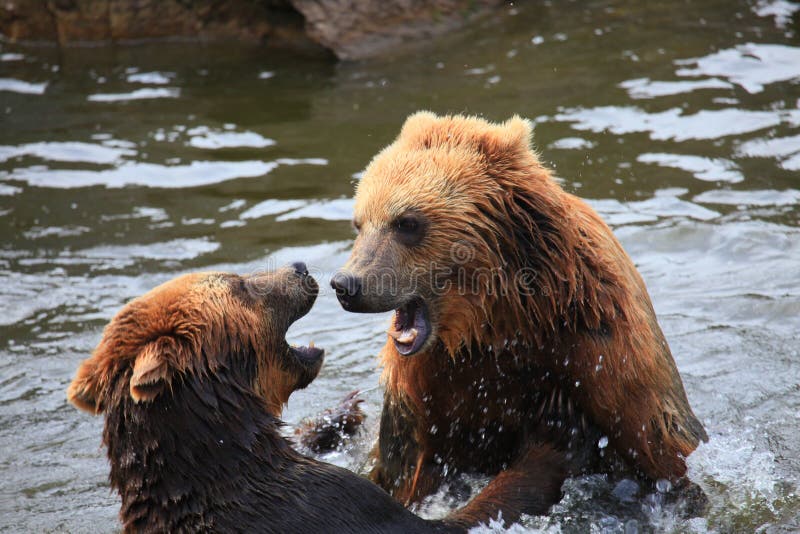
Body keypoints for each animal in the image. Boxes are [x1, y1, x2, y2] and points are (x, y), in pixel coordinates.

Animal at [330, 112, 708, 527]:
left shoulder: (610, 365)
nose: (347, 284)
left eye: (406, 222)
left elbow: (663, 465)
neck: (503, 322)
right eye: (359, 222)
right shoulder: (426, 395)